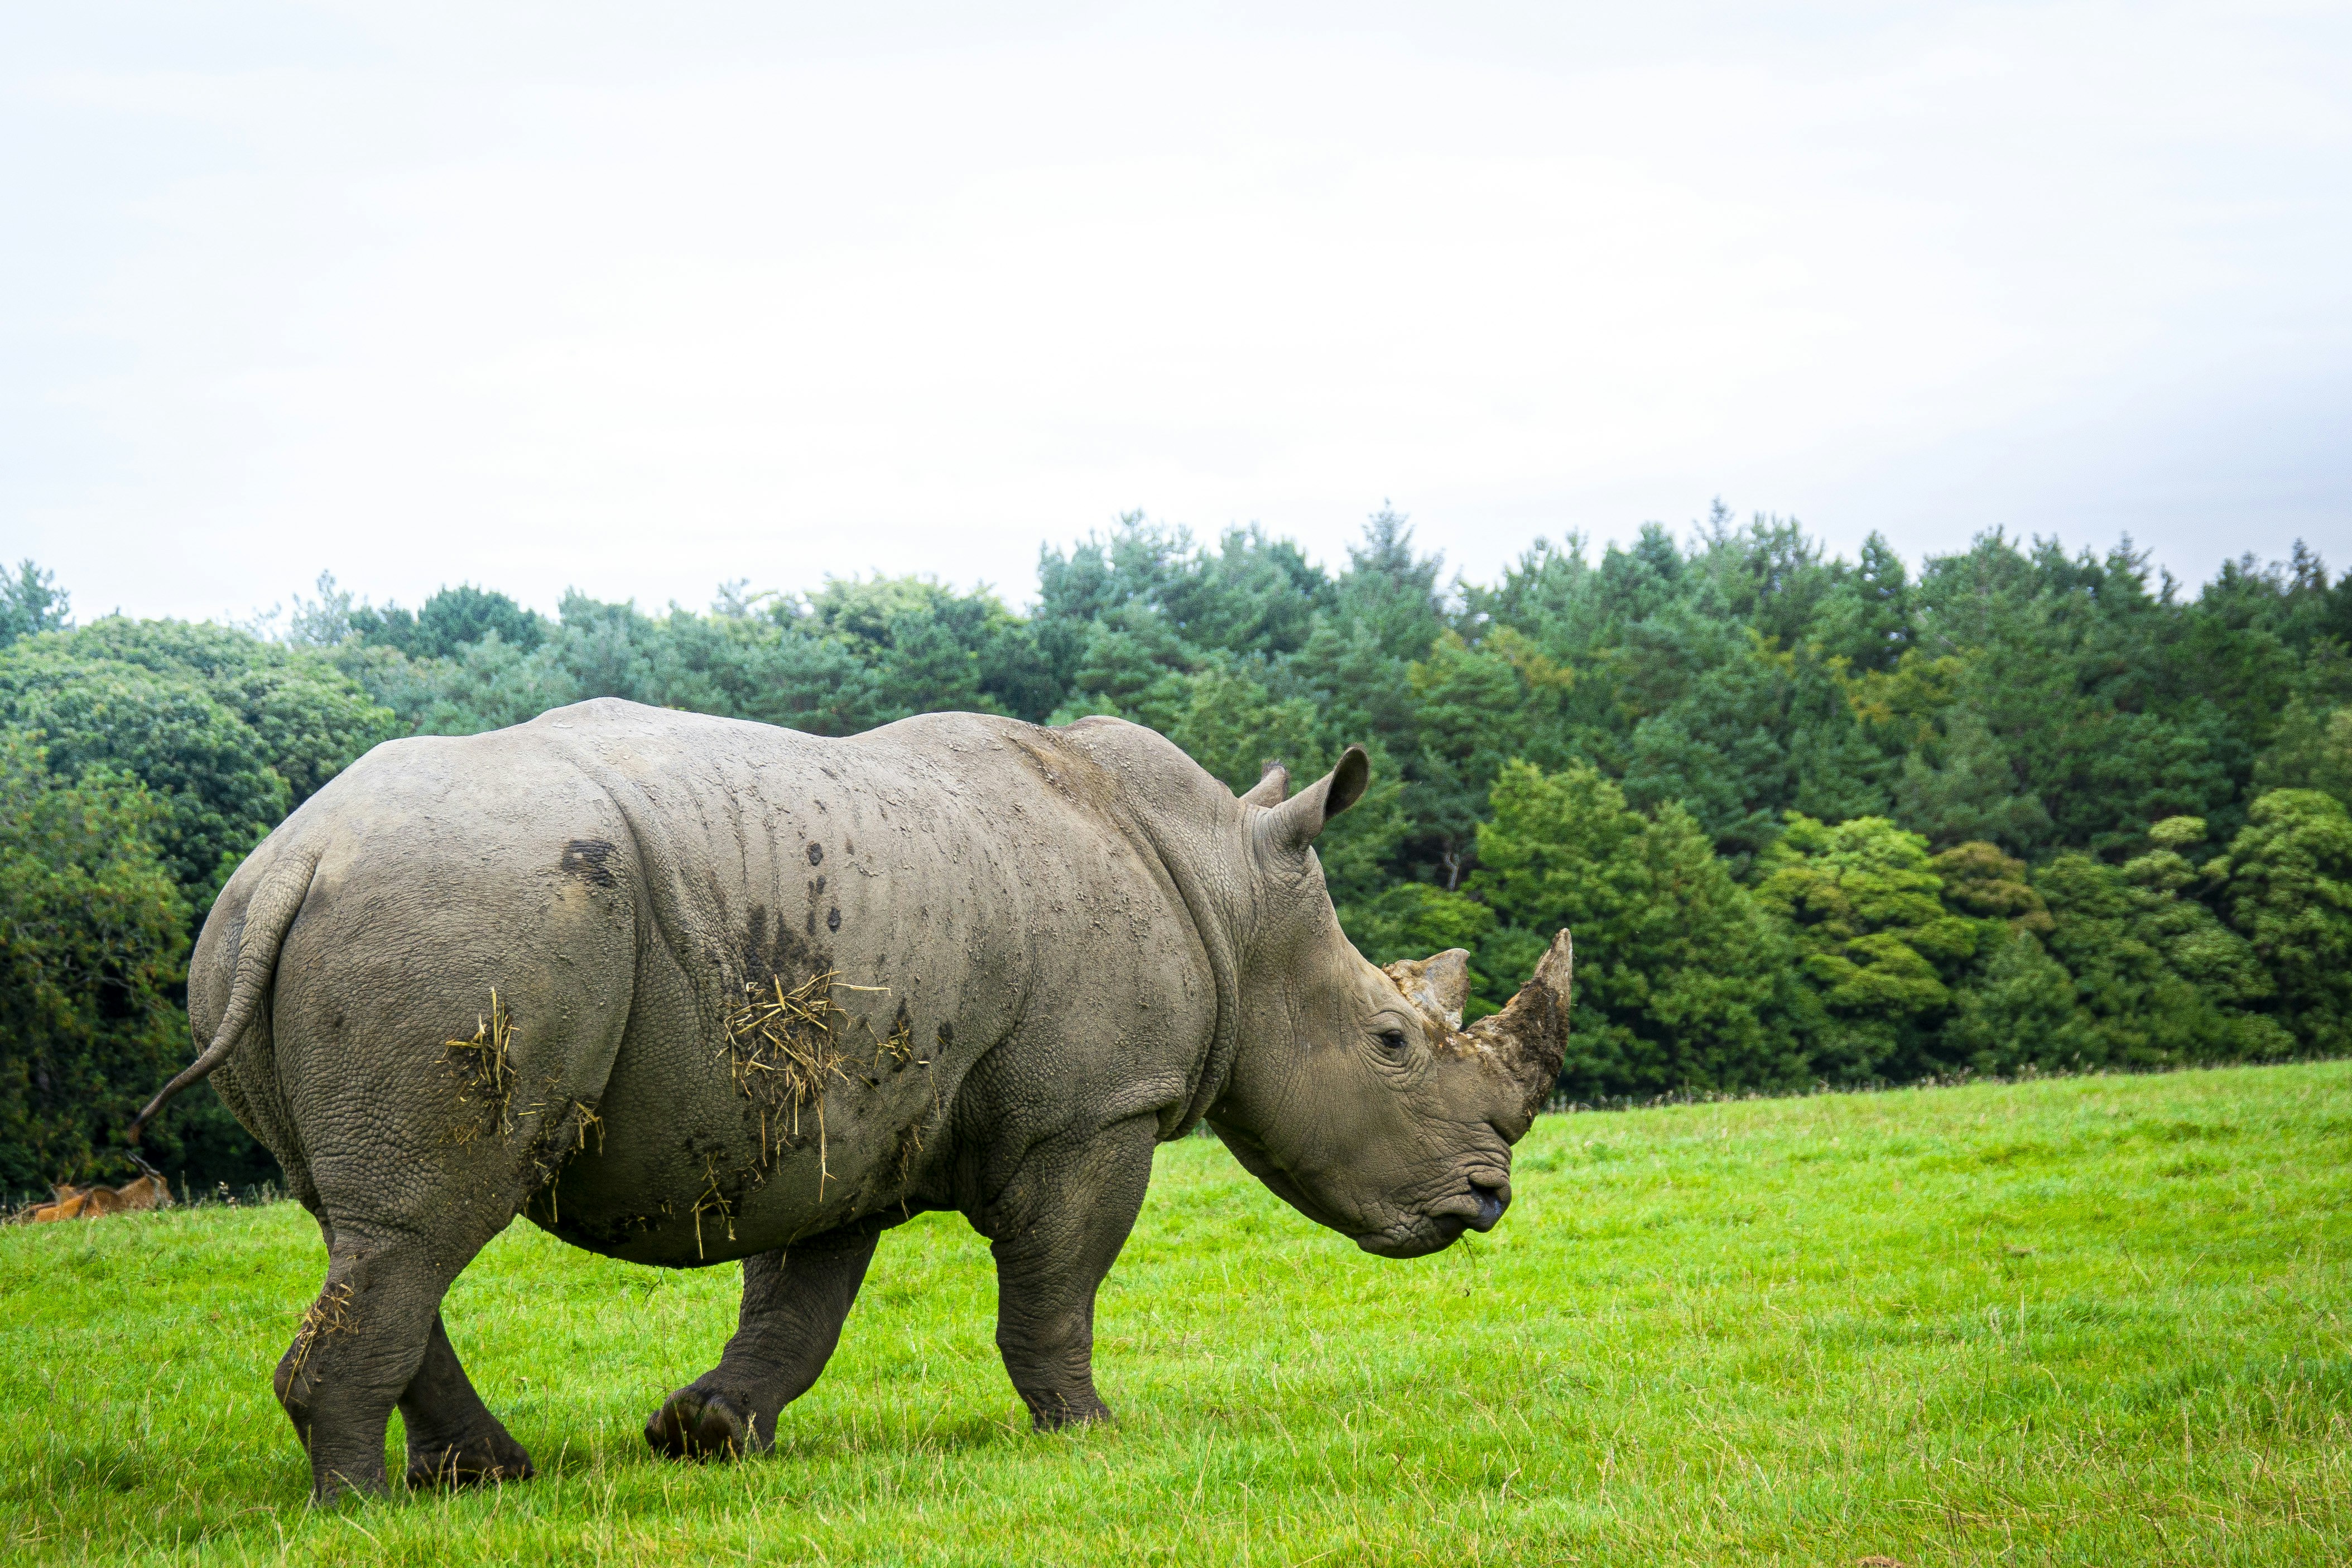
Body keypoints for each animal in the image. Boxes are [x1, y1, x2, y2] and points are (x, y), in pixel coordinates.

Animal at [132, 699, 1571, 1501]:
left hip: (313, 928)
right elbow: (1057, 1282)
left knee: (381, 1226)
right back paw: (363, 1511)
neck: (1227, 890)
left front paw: (706, 1434)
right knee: (429, 1217)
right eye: (1392, 1040)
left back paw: (483, 1480)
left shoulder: (842, 1113)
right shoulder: (1092, 1112)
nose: (1487, 1198)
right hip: (472, 916)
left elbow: (801, 1300)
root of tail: (300, 855)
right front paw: (1091, 1435)